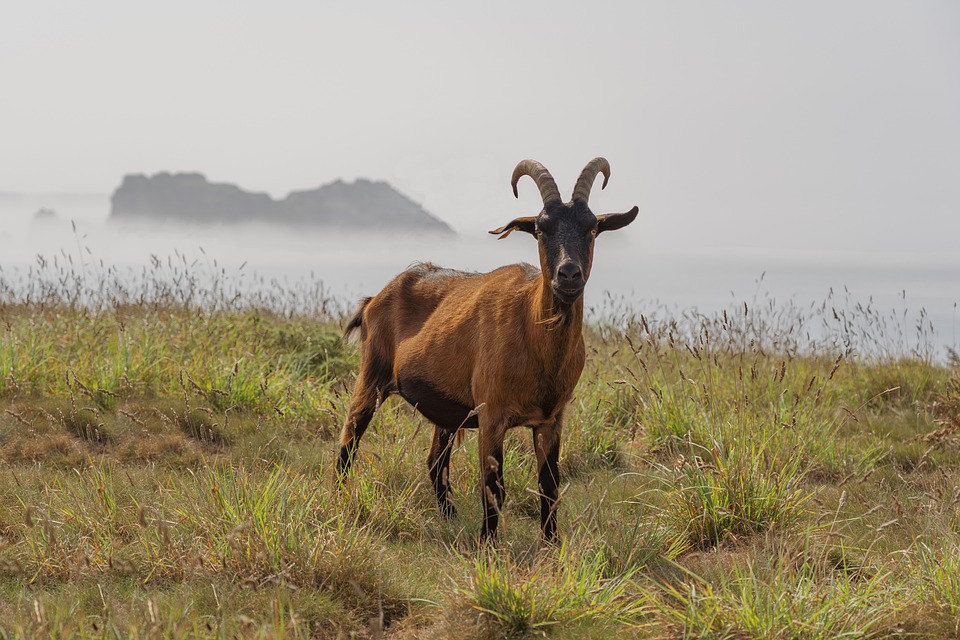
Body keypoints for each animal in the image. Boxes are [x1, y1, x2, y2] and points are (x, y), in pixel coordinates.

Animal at [336, 158, 638, 540]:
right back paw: (339, 497)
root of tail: (374, 299)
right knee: (350, 438)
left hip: (448, 412)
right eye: (541, 229)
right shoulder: (492, 414)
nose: (568, 274)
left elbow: (549, 484)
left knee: (435, 462)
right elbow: (494, 487)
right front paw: (488, 544)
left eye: (593, 228)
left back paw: (450, 518)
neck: (534, 339)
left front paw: (551, 544)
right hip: (372, 376)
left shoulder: (552, 419)